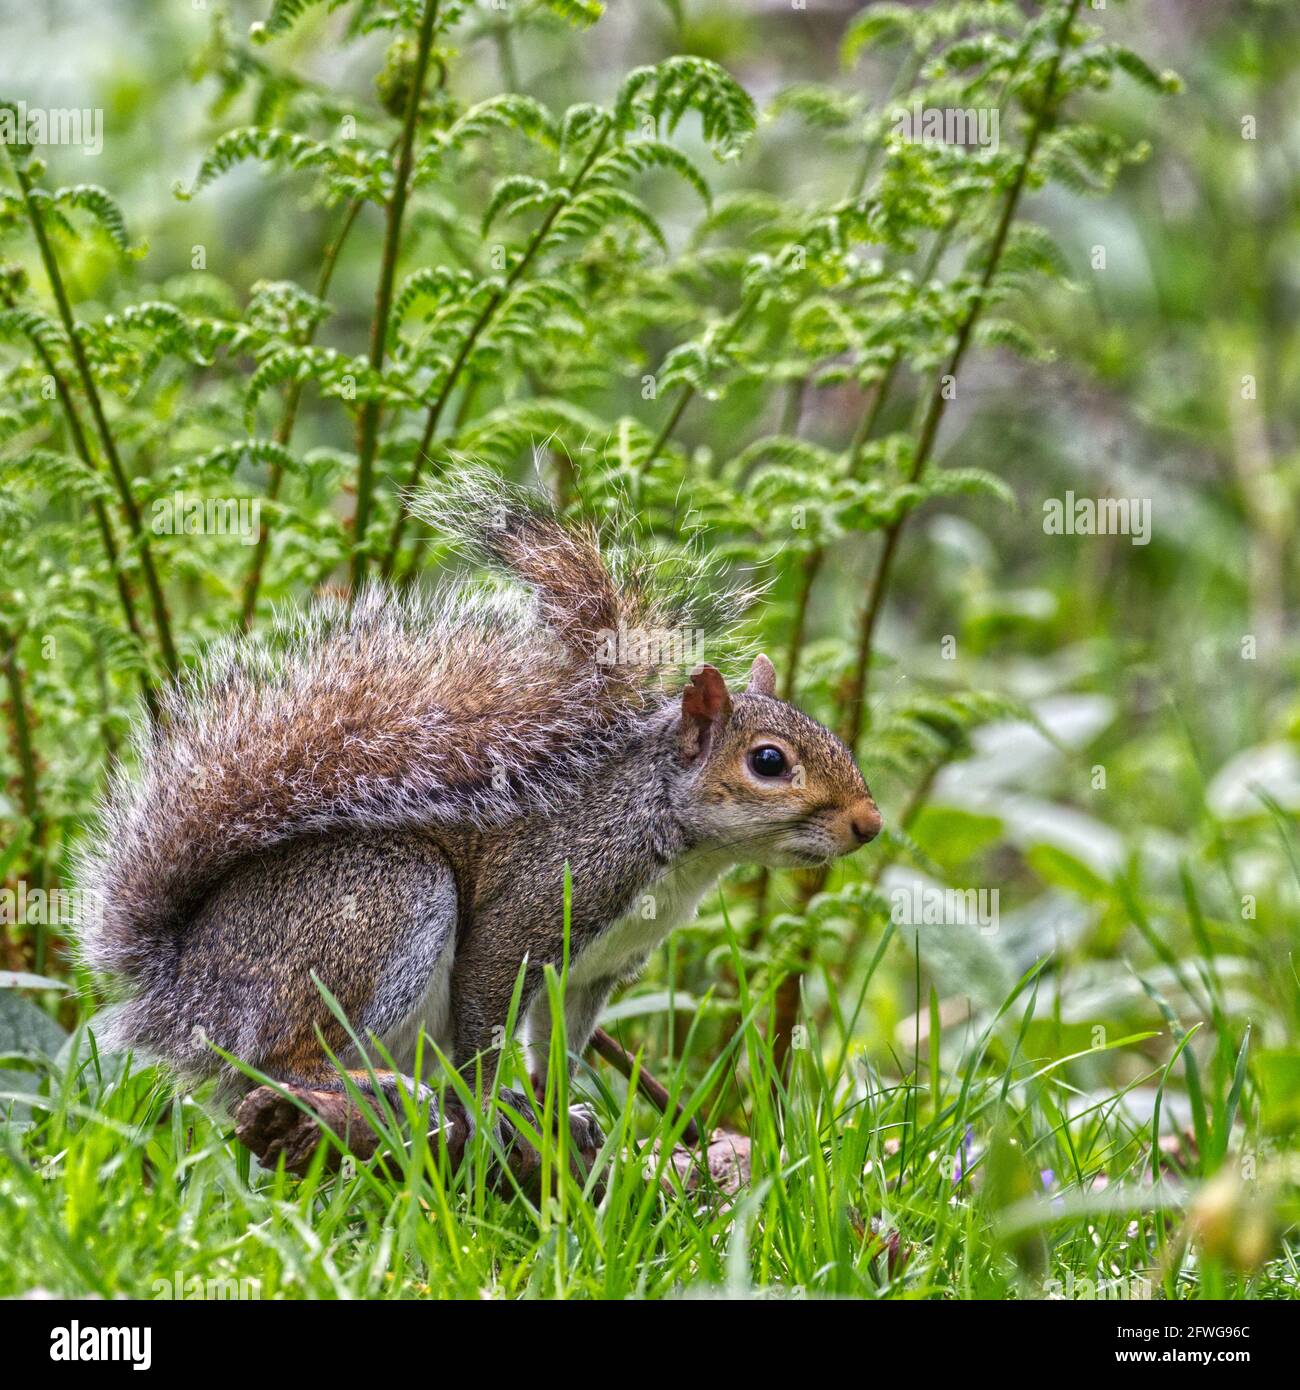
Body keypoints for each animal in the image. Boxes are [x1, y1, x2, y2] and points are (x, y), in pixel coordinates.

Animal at [78, 467, 881, 1168]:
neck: (671, 843)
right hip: (380, 905)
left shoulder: (596, 972)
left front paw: (562, 1113)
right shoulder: (536, 909)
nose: (869, 826)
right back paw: (364, 1084)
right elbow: (486, 1018)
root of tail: (183, 990)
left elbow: (558, 1045)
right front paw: (494, 1108)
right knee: (273, 1065)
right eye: (769, 762)